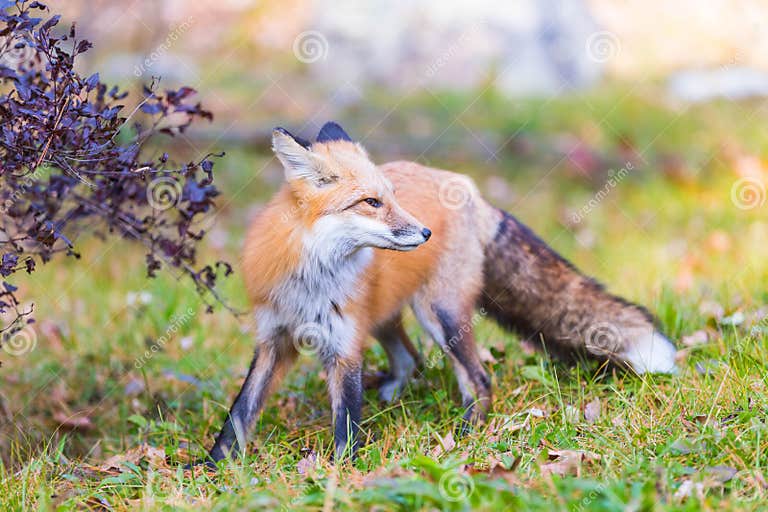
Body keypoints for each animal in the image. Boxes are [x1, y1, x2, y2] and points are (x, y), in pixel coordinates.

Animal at [204, 121, 678, 464]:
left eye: (392, 198)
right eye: (371, 202)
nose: (425, 232)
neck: (311, 279)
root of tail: (465, 185)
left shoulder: (345, 346)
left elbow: (346, 425)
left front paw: (340, 475)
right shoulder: (274, 339)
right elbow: (239, 414)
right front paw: (212, 468)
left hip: (439, 314)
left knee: (478, 379)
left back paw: (467, 434)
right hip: (388, 315)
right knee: (410, 359)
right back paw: (396, 395)